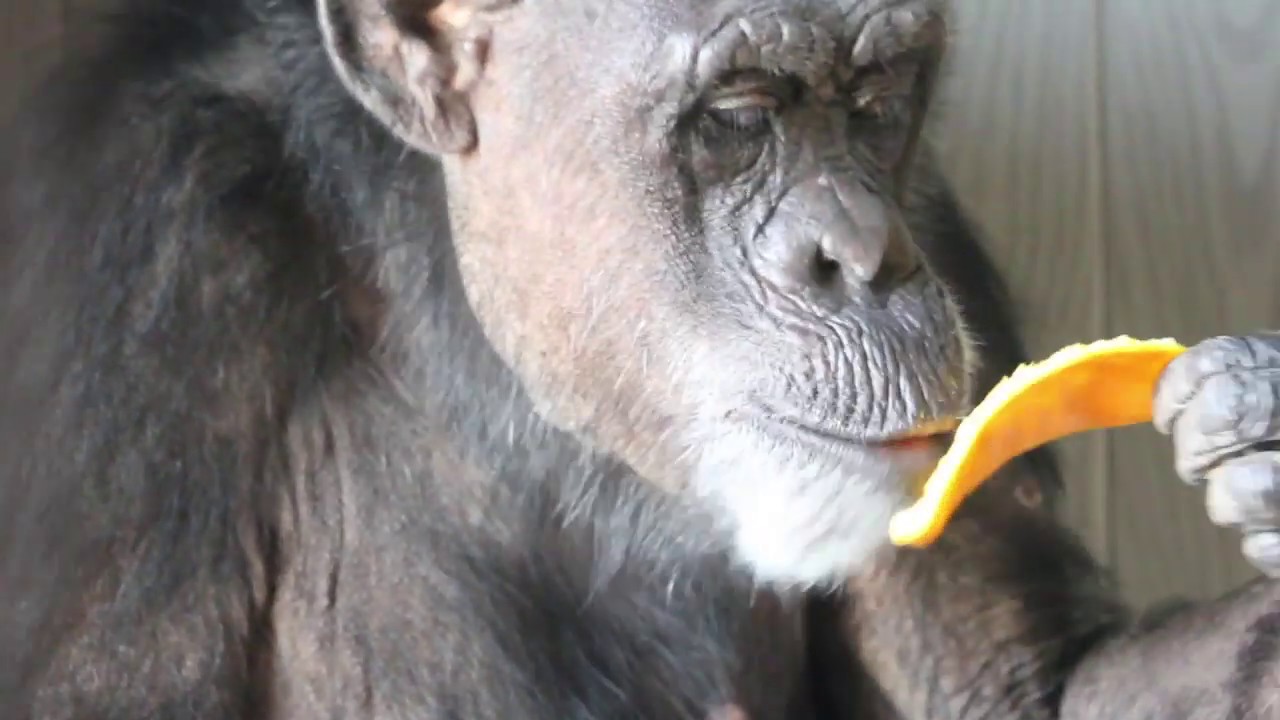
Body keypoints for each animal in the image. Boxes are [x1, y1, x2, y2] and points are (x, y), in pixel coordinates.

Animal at [0, 0, 1277, 718]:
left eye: (877, 96)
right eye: (740, 114)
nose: (864, 253)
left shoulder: (935, 216)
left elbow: (1014, 692)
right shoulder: (143, 273)